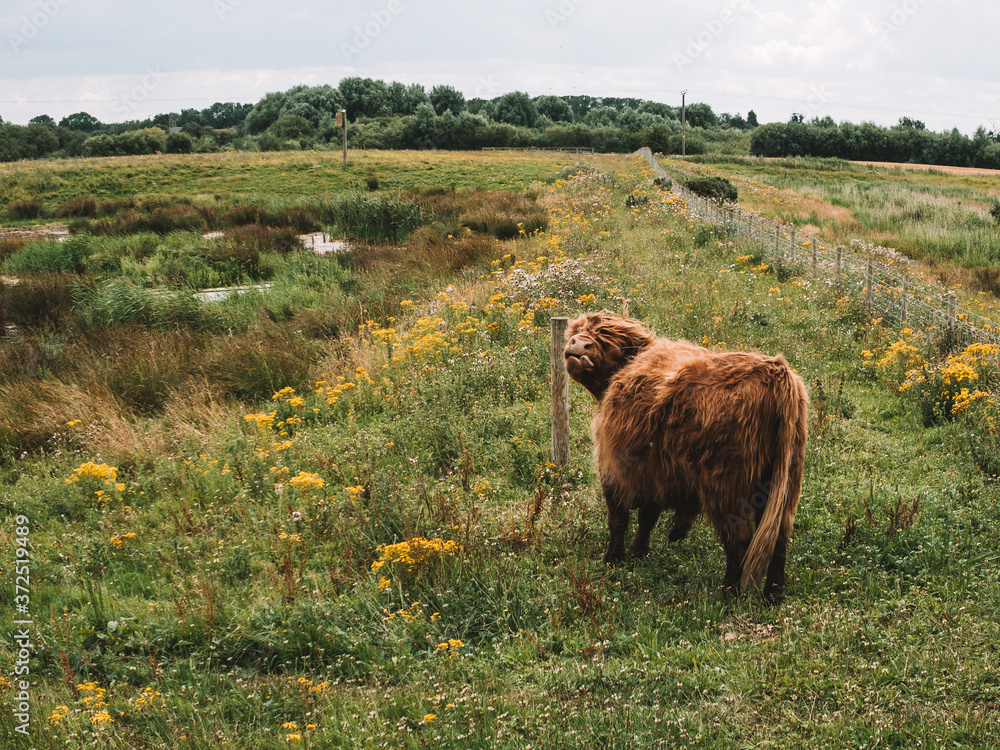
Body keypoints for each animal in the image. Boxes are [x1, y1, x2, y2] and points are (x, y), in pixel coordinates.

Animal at [563, 312, 808, 603]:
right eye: (577, 331)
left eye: (605, 339)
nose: (579, 343)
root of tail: (775, 371)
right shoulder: (653, 470)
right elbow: (648, 516)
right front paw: (639, 553)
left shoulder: (612, 466)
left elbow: (618, 519)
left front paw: (613, 559)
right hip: (786, 482)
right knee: (779, 537)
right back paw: (774, 595)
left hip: (725, 486)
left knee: (739, 538)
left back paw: (729, 594)